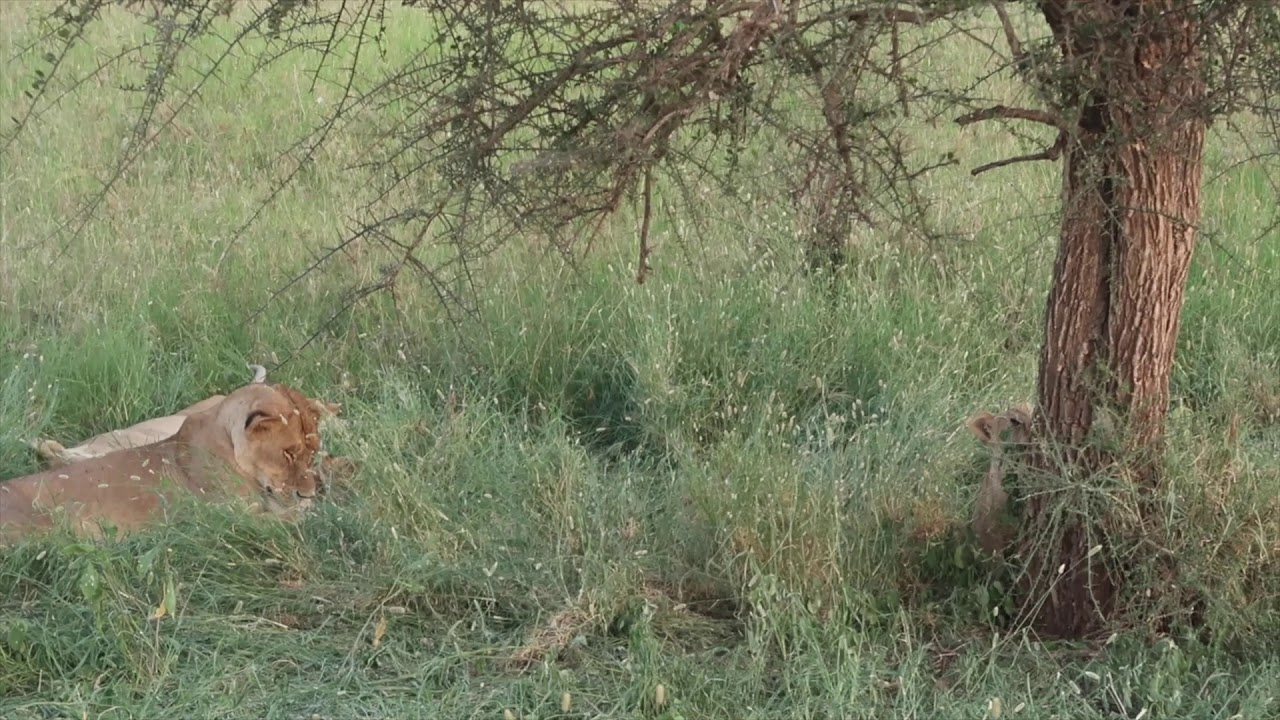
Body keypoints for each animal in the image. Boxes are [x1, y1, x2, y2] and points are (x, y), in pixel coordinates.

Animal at [0, 381, 325, 543]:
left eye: (313, 452)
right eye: (288, 453)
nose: (308, 492)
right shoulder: (230, 521)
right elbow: (287, 519)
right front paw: (311, 511)